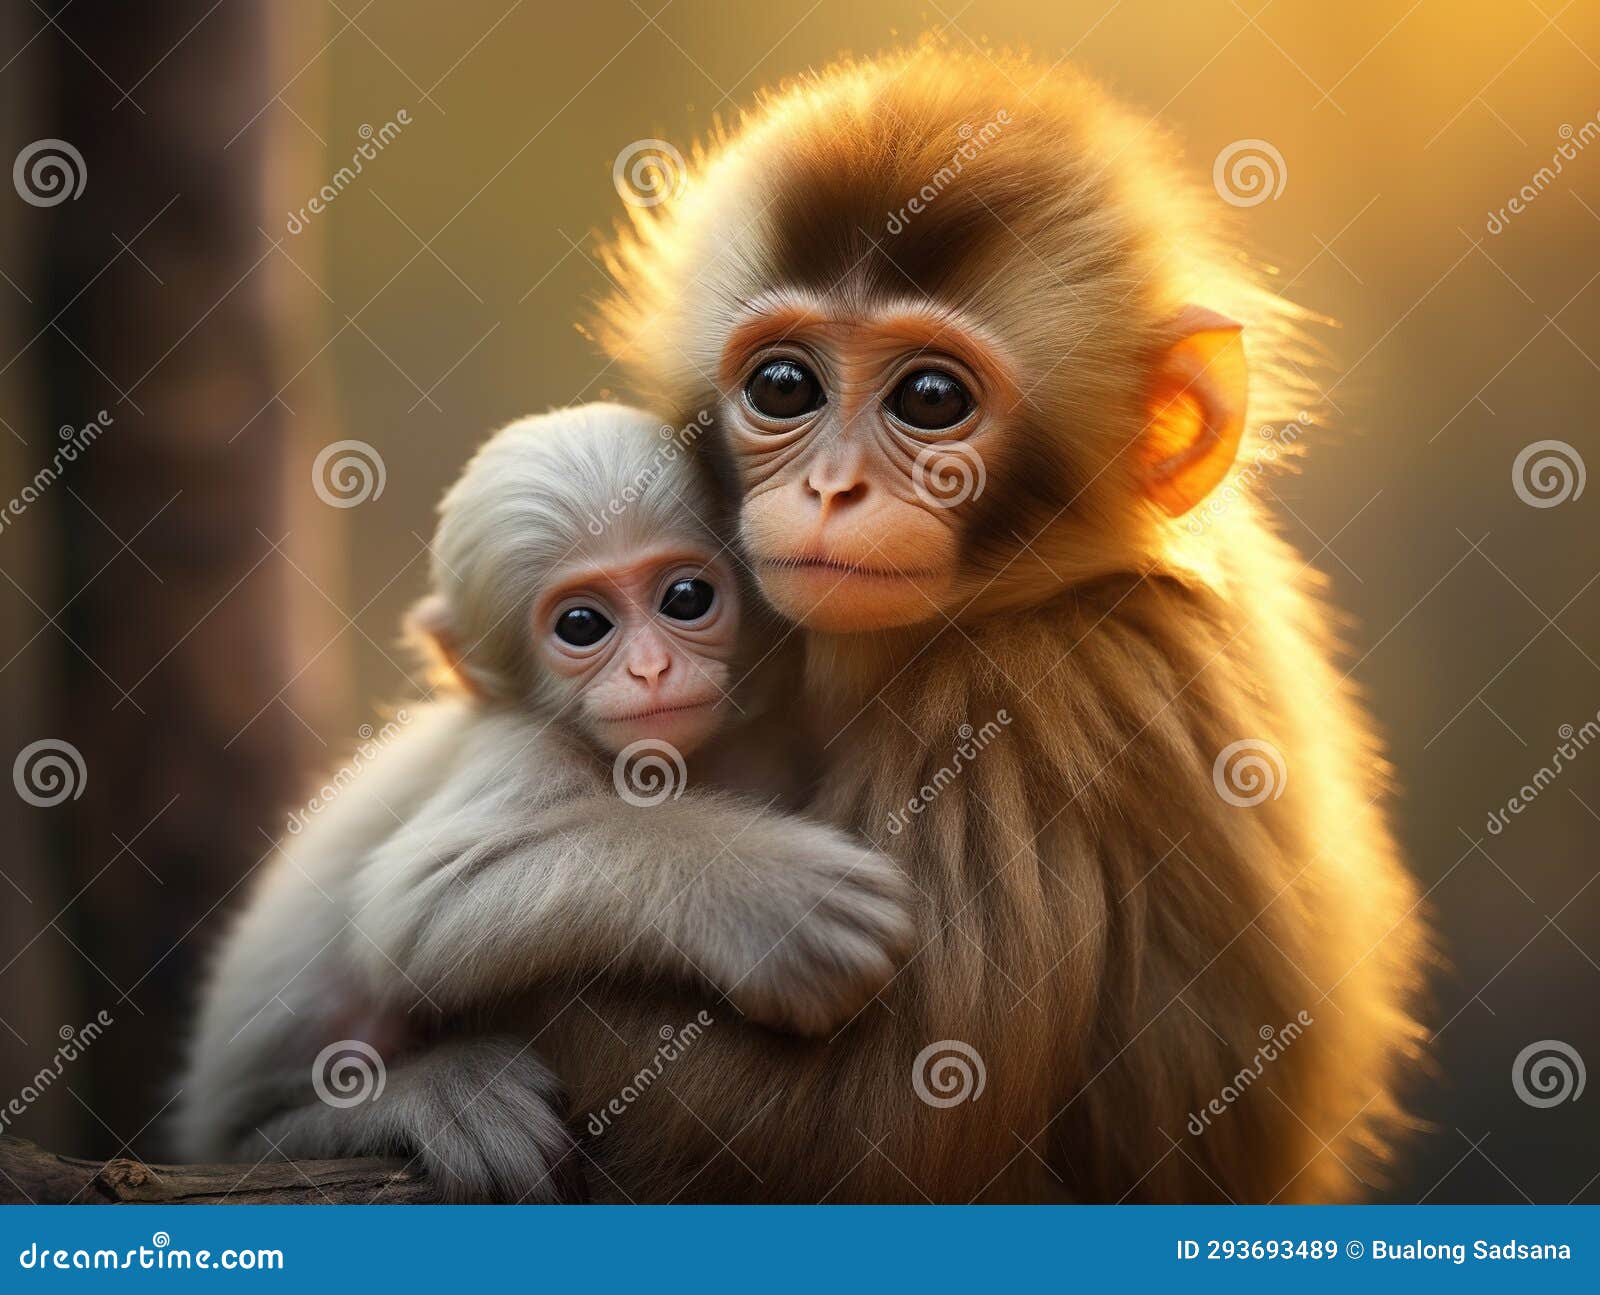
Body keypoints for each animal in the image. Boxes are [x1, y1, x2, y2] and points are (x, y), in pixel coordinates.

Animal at [173, 403, 916, 1201]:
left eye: (686, 599)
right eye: (582, 626)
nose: (652, 670)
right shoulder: (517, 747)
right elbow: (422, 903)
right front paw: (774, 902)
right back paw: (430, 1095)